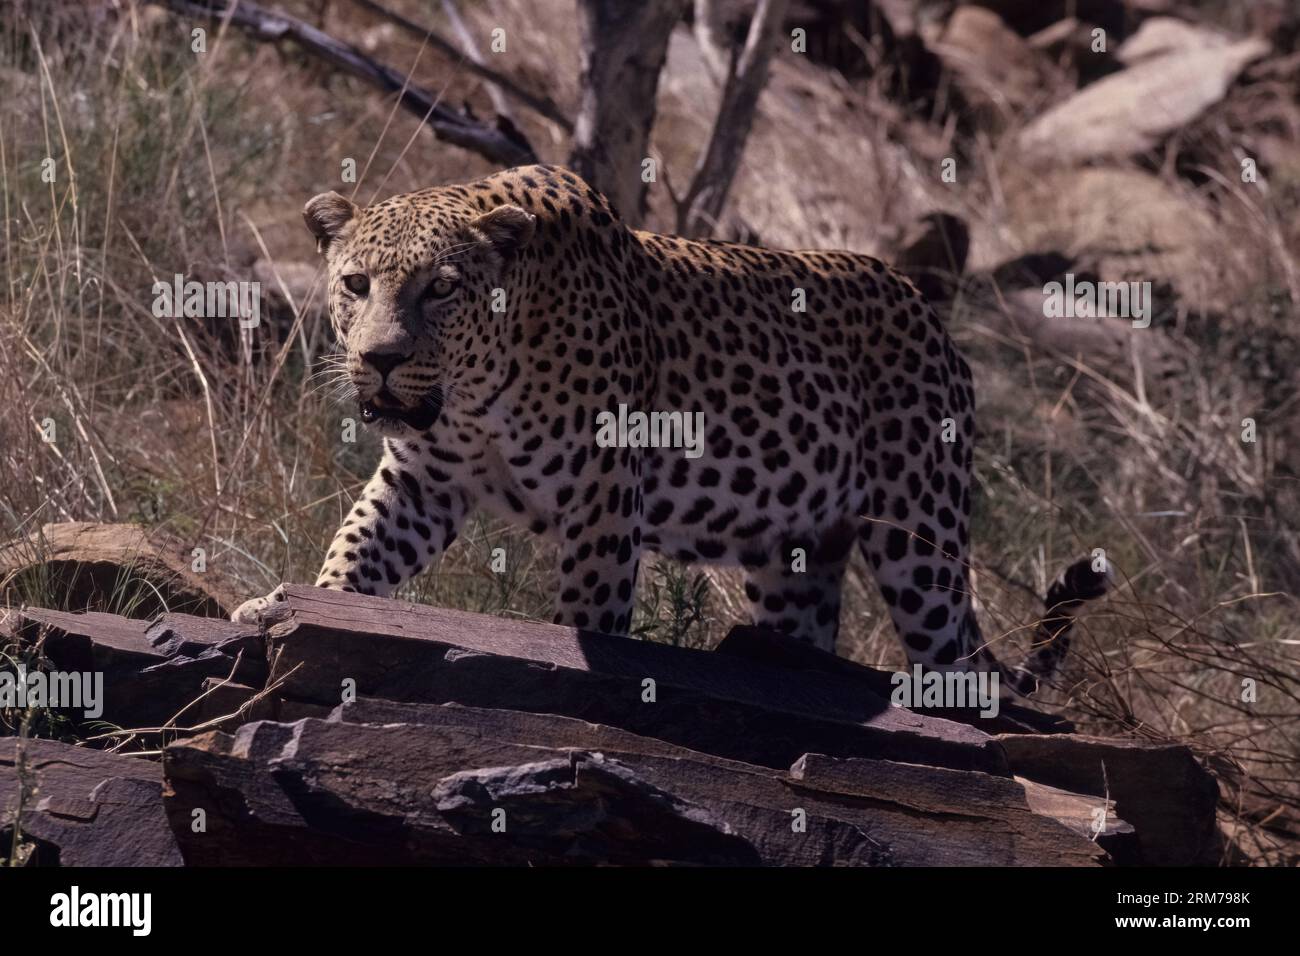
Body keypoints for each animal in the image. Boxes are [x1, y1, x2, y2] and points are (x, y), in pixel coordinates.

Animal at [232, 163, 1109, 696]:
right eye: (356, 283)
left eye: (441, 289)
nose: (379, 359)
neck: (476, 392)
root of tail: (937, 321)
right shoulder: (423, 479)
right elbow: (356, 547)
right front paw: (293, 609)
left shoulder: (600, 500)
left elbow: (587, 616)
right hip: (794, 566)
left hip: (918, 538)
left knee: (959, 662)